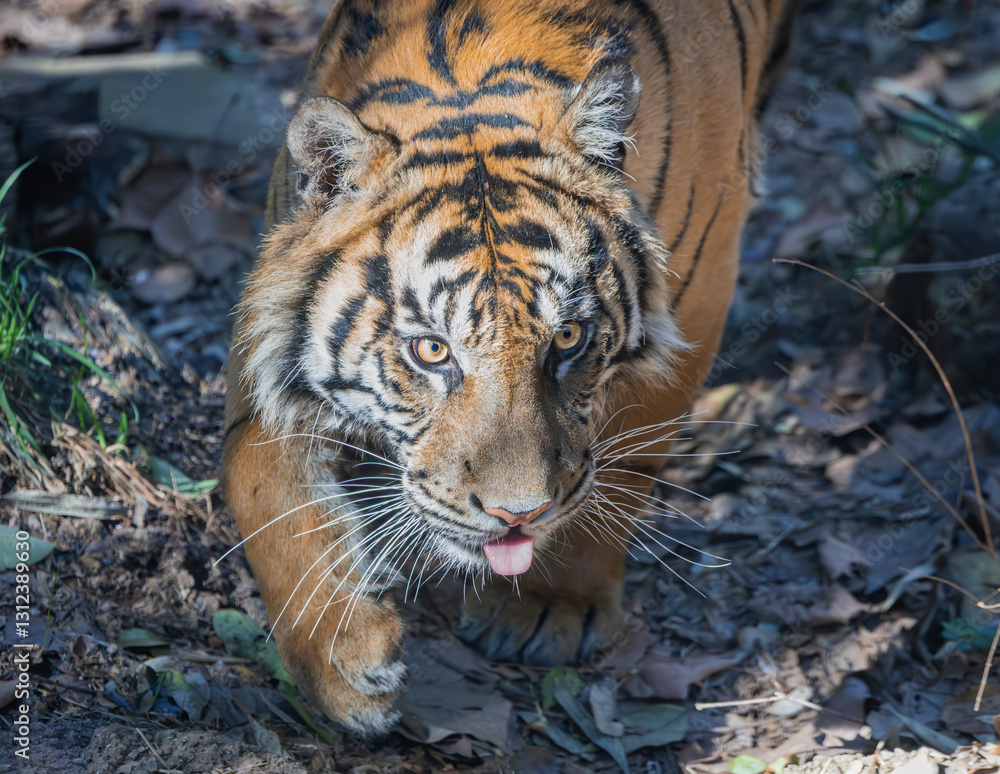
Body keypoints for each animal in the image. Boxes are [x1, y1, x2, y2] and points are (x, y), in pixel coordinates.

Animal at [223, 0, 799, 735]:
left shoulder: (699, 294)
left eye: (569, 337)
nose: (516, 517)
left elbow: (619, 467)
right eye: (432, 350)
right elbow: (254, 477)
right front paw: (342, 660)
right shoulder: (268, 341)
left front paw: (547, 604)